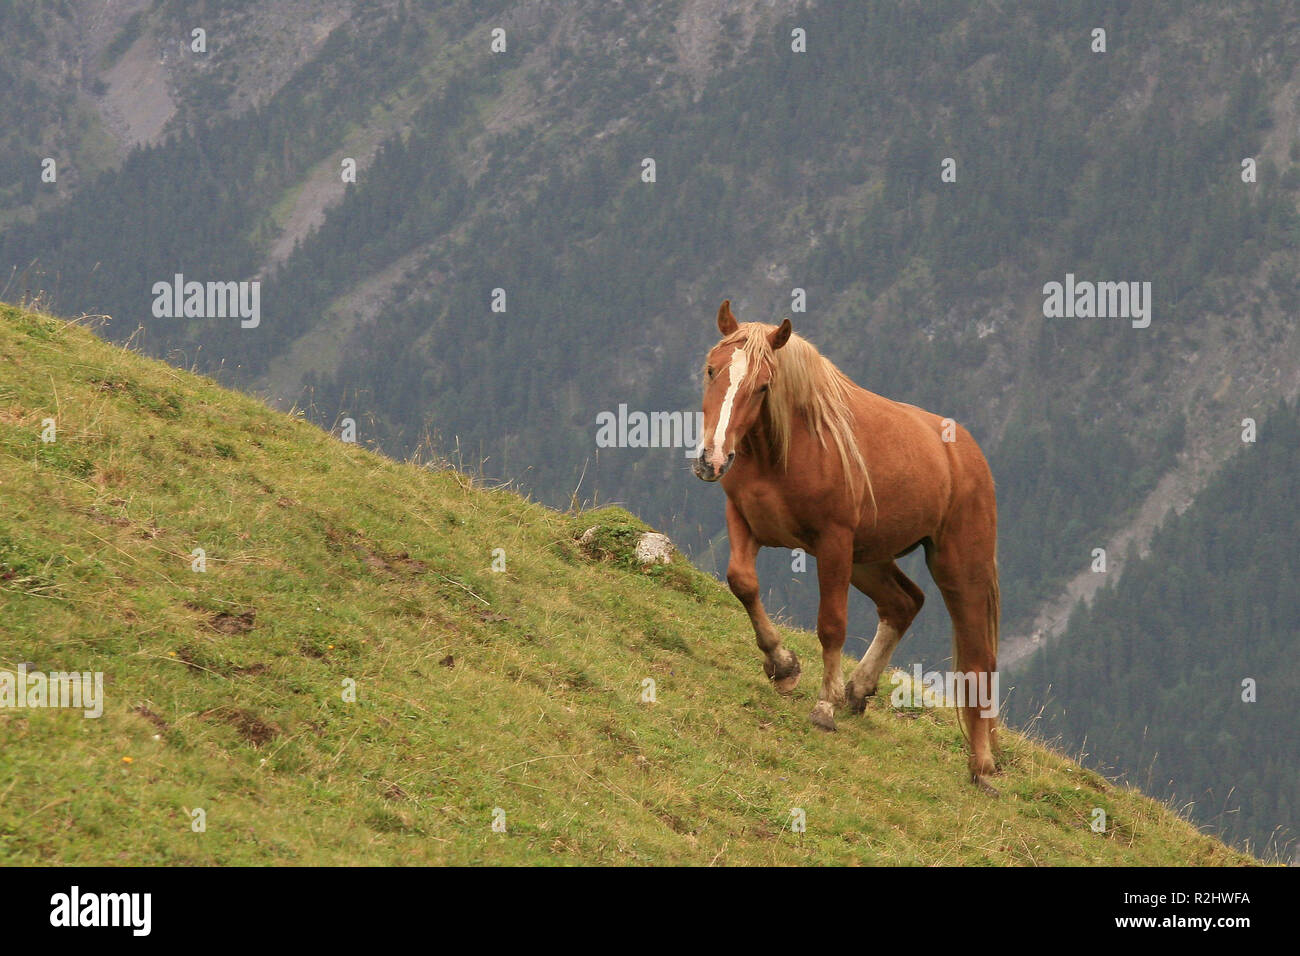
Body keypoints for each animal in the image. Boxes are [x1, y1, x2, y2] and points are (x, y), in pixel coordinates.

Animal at [692, 300, 1001, 787]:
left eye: (763, 386)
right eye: (711, 370)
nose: (713, 459)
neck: (785, 451)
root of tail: (968, 454)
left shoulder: (833, 543)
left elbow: (831, 625)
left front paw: (824, 707)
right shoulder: (742, 521)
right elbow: (742, 582)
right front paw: (783, 666)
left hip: (957, 565)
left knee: (977, 655)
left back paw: (981, 763)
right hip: (868, 558)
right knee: (904, 603)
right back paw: (858, 689)